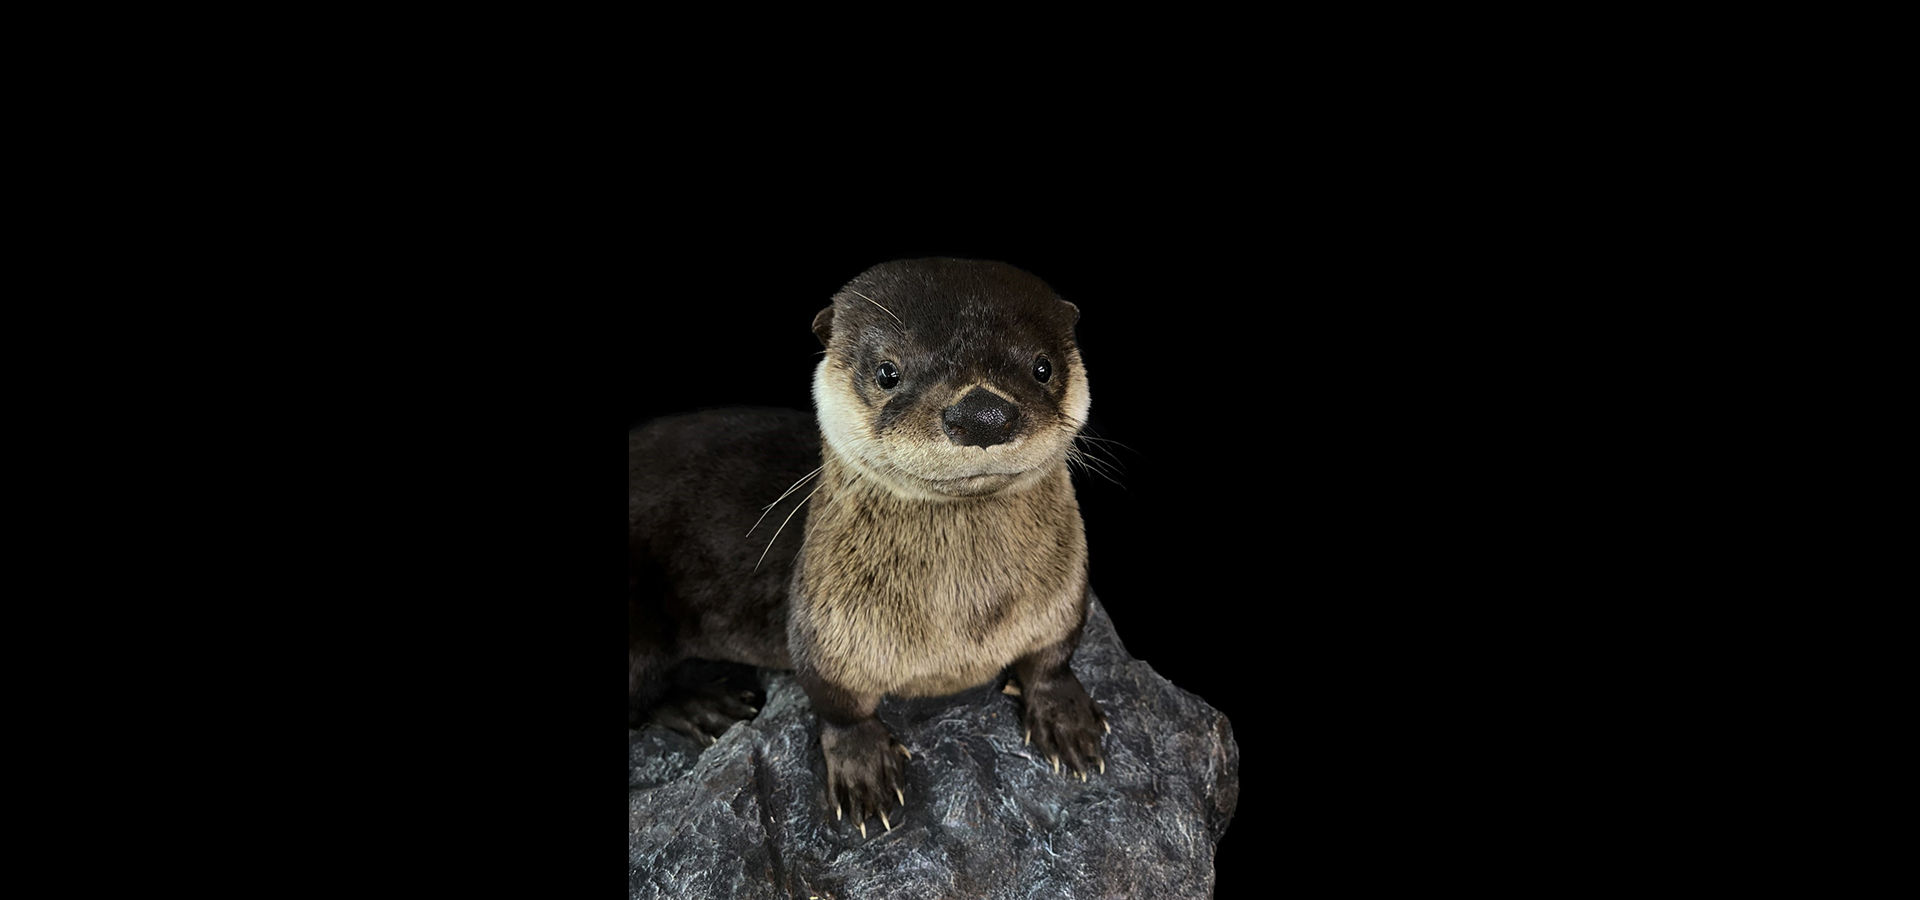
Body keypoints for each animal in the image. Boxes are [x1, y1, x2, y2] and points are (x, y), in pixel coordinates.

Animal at [628, 258, 1108, 838]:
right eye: (887, 373)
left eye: (1042, 367)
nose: (983, 413)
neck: (964, 627)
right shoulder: (824, 624)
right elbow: (835, 701)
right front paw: (862, 769)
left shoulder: (1064, 592)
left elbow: (1053, 657)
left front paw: (1066, 718)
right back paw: (704, 706)